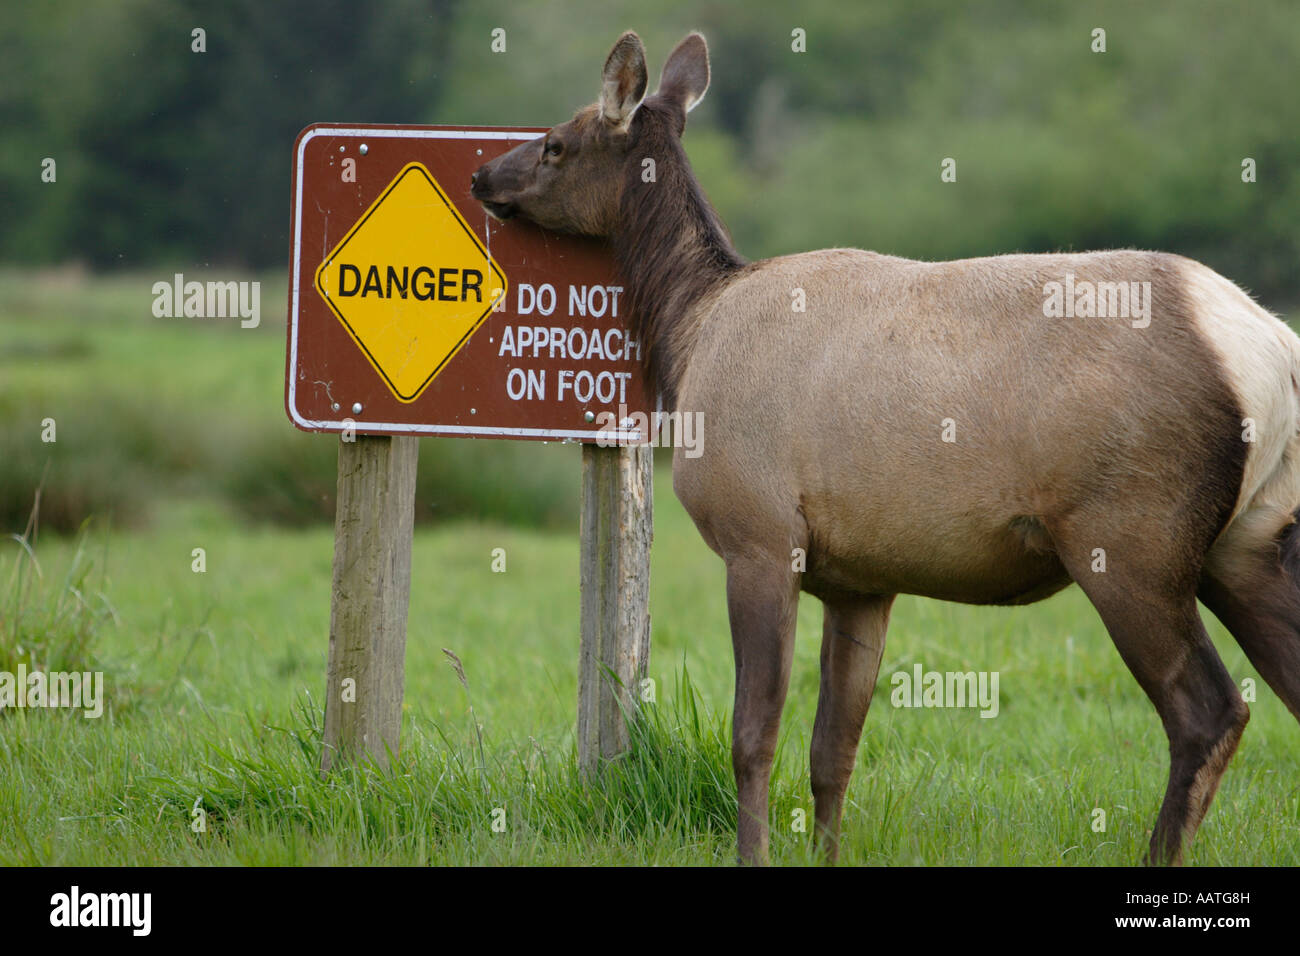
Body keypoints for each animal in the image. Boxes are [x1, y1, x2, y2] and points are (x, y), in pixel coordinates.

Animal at [471, 30, 1300, 866]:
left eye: (556, 143)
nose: (482, 175)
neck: (690, 329)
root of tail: (1272, 352)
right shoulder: (862, 580)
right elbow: (832, 750)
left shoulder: (759, 535)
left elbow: (753, 736)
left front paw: (753, 852)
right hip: (1248, 539)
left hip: (1130, 535)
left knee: (1210, 712)